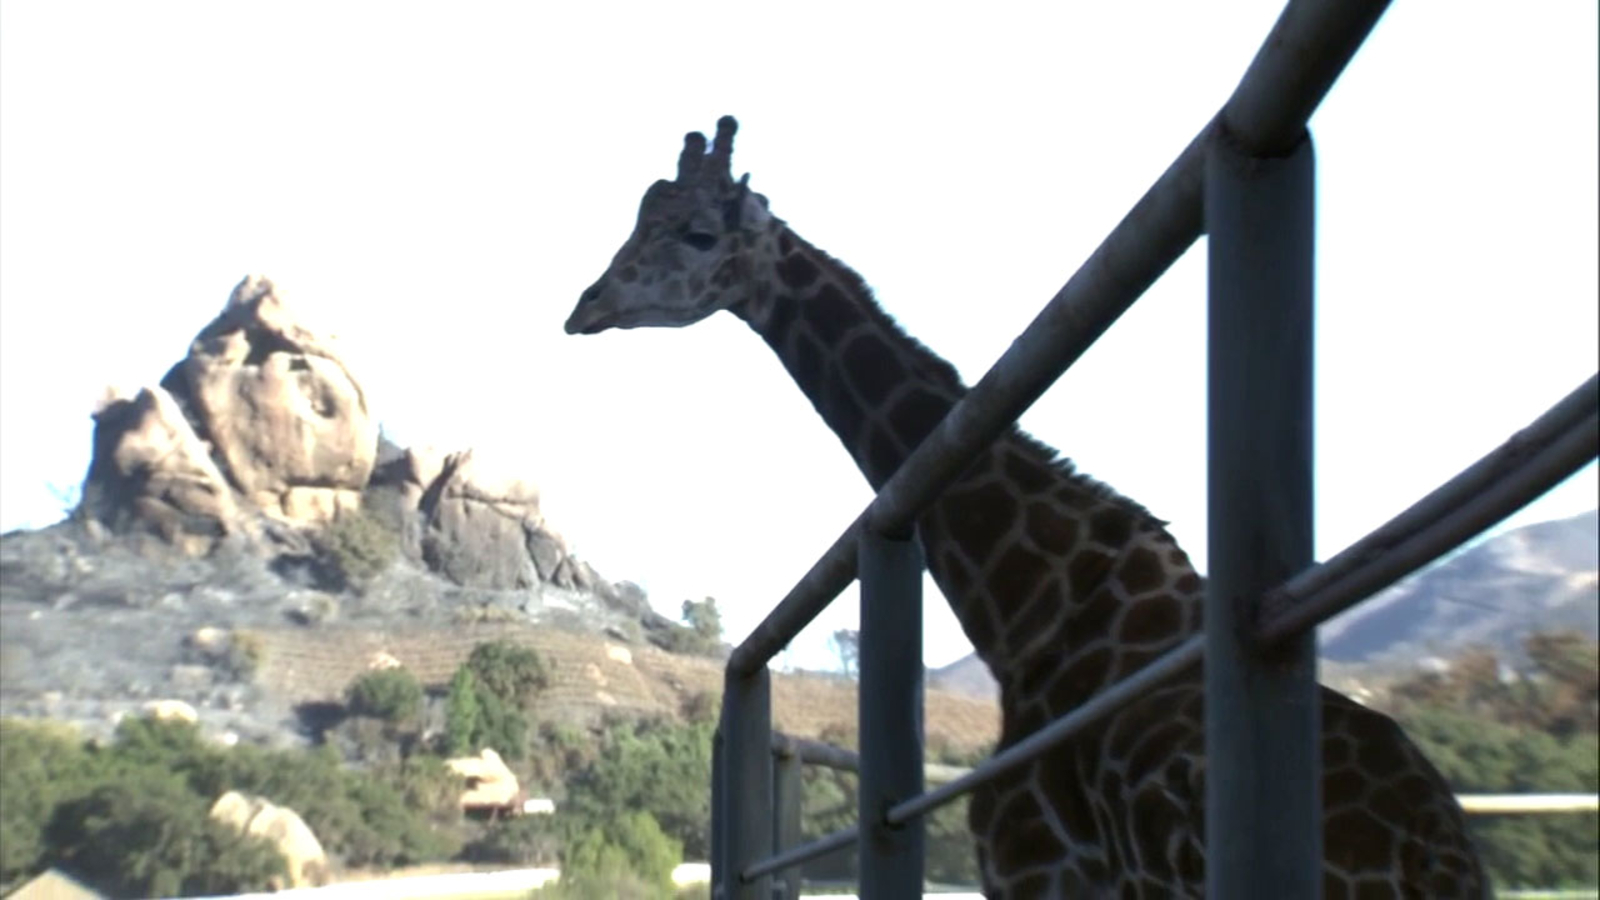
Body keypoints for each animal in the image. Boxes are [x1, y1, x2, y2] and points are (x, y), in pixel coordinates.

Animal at [564, 116, 1487, 898]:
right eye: (641, 218)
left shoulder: (1031, 869)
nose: (587, 305)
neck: (1027, 608)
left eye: (698, 234)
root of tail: (1437, 860)